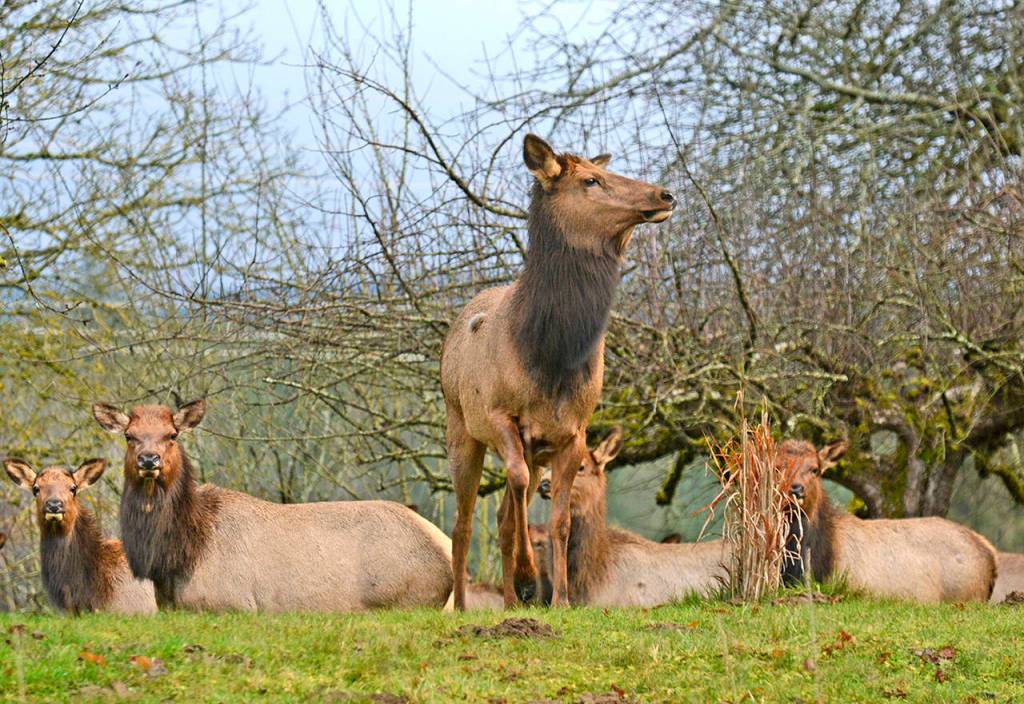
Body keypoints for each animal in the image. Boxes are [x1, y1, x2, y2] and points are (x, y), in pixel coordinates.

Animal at [440, 134, 675, 608]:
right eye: (591, 180)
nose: (665, 194)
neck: (552, 361)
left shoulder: (571, 433)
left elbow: (560, 521)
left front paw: (560, 599)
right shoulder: (499, 415)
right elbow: (514, 486)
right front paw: (530, 577)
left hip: (532, 449)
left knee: (503, 514)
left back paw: (512, 601)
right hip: (462, 430)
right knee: (464, 522)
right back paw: (463, 605)